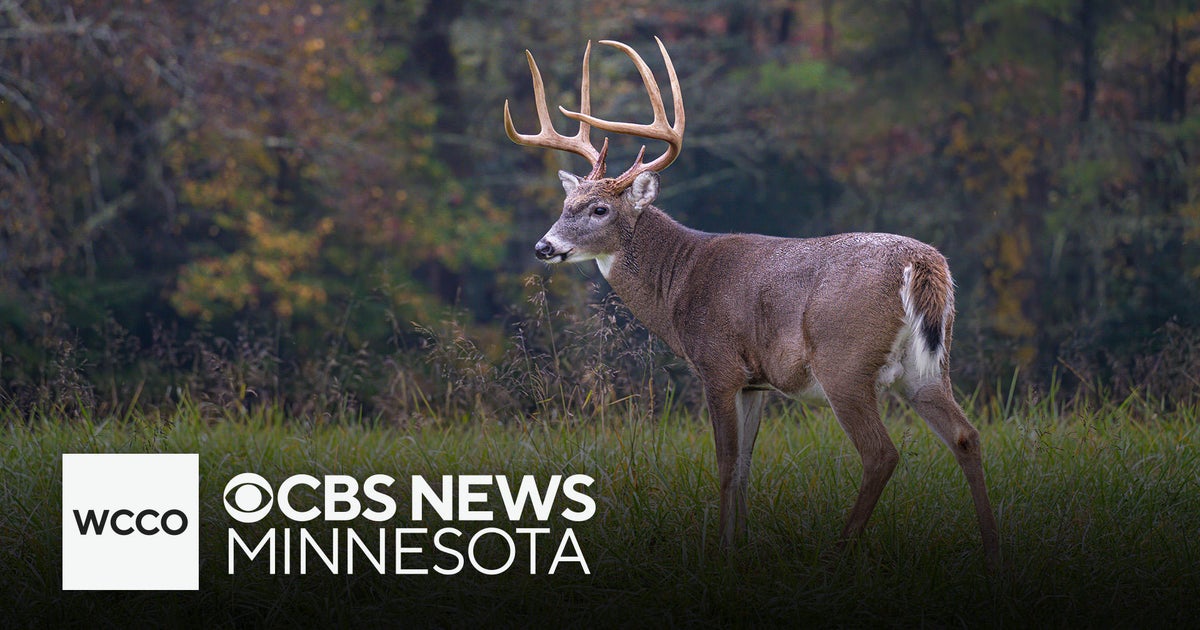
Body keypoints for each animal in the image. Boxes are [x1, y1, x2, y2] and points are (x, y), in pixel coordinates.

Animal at [503, 37, 1000, 568]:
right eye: (565, 206)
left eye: (599, 209)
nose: (544, 246)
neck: (679, 281)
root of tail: (922, 262)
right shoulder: (754, 381)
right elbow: (744, 464)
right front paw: (740, 543)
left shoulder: (717, 365)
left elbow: (724, 463)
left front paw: (721, 550)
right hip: (926, 366)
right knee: (966, 435)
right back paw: (993, 552)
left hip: (845, 360)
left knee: (880, 453)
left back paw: (839, 552)